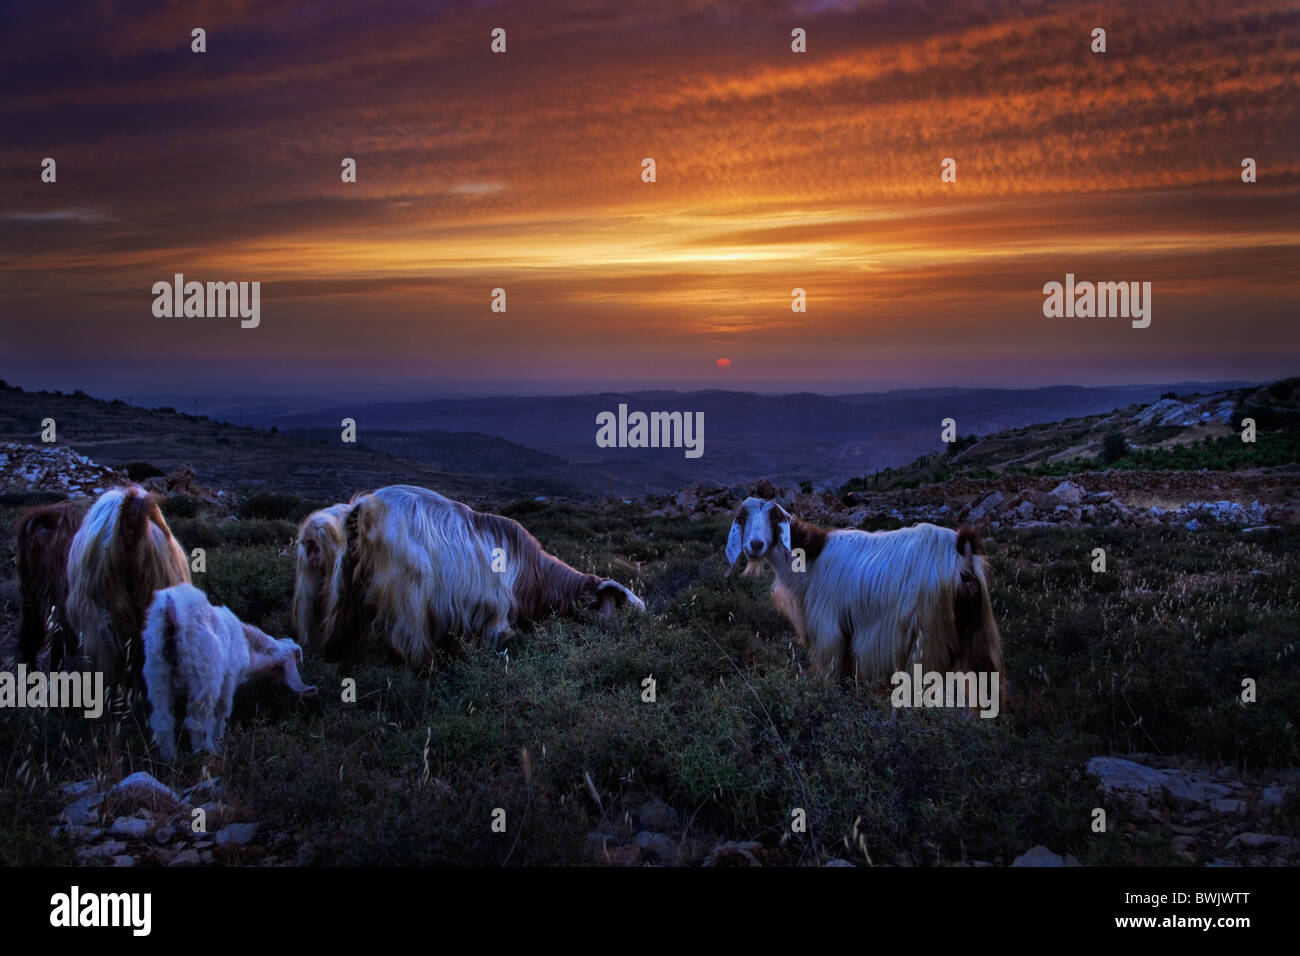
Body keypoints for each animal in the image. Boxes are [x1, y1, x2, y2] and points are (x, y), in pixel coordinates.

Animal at [142, 584, 316, 761]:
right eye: (279, 669)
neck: (247, 645)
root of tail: (172, 613)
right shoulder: (228, 679)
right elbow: (223, 712)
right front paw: (219, 746)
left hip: (157, 675)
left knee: (163, 720)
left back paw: (170, 759)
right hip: (205, 677)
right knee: (198, 722)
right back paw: (205, 755)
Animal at [320, 485, 645, 670]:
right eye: (619, 605)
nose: (638, 632)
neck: (536, 576)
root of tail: (362, 508)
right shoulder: (495, 615)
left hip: (348, 587)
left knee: (341, 626)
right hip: (407, 595)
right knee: (409, 639)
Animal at [725, 496, 1003, 684]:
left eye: (774, 519)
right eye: (743, 518)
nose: (755, 545)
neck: (811, 562)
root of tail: (963, 553)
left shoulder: (829, 630)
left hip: (929, 638)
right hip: (978, 633)